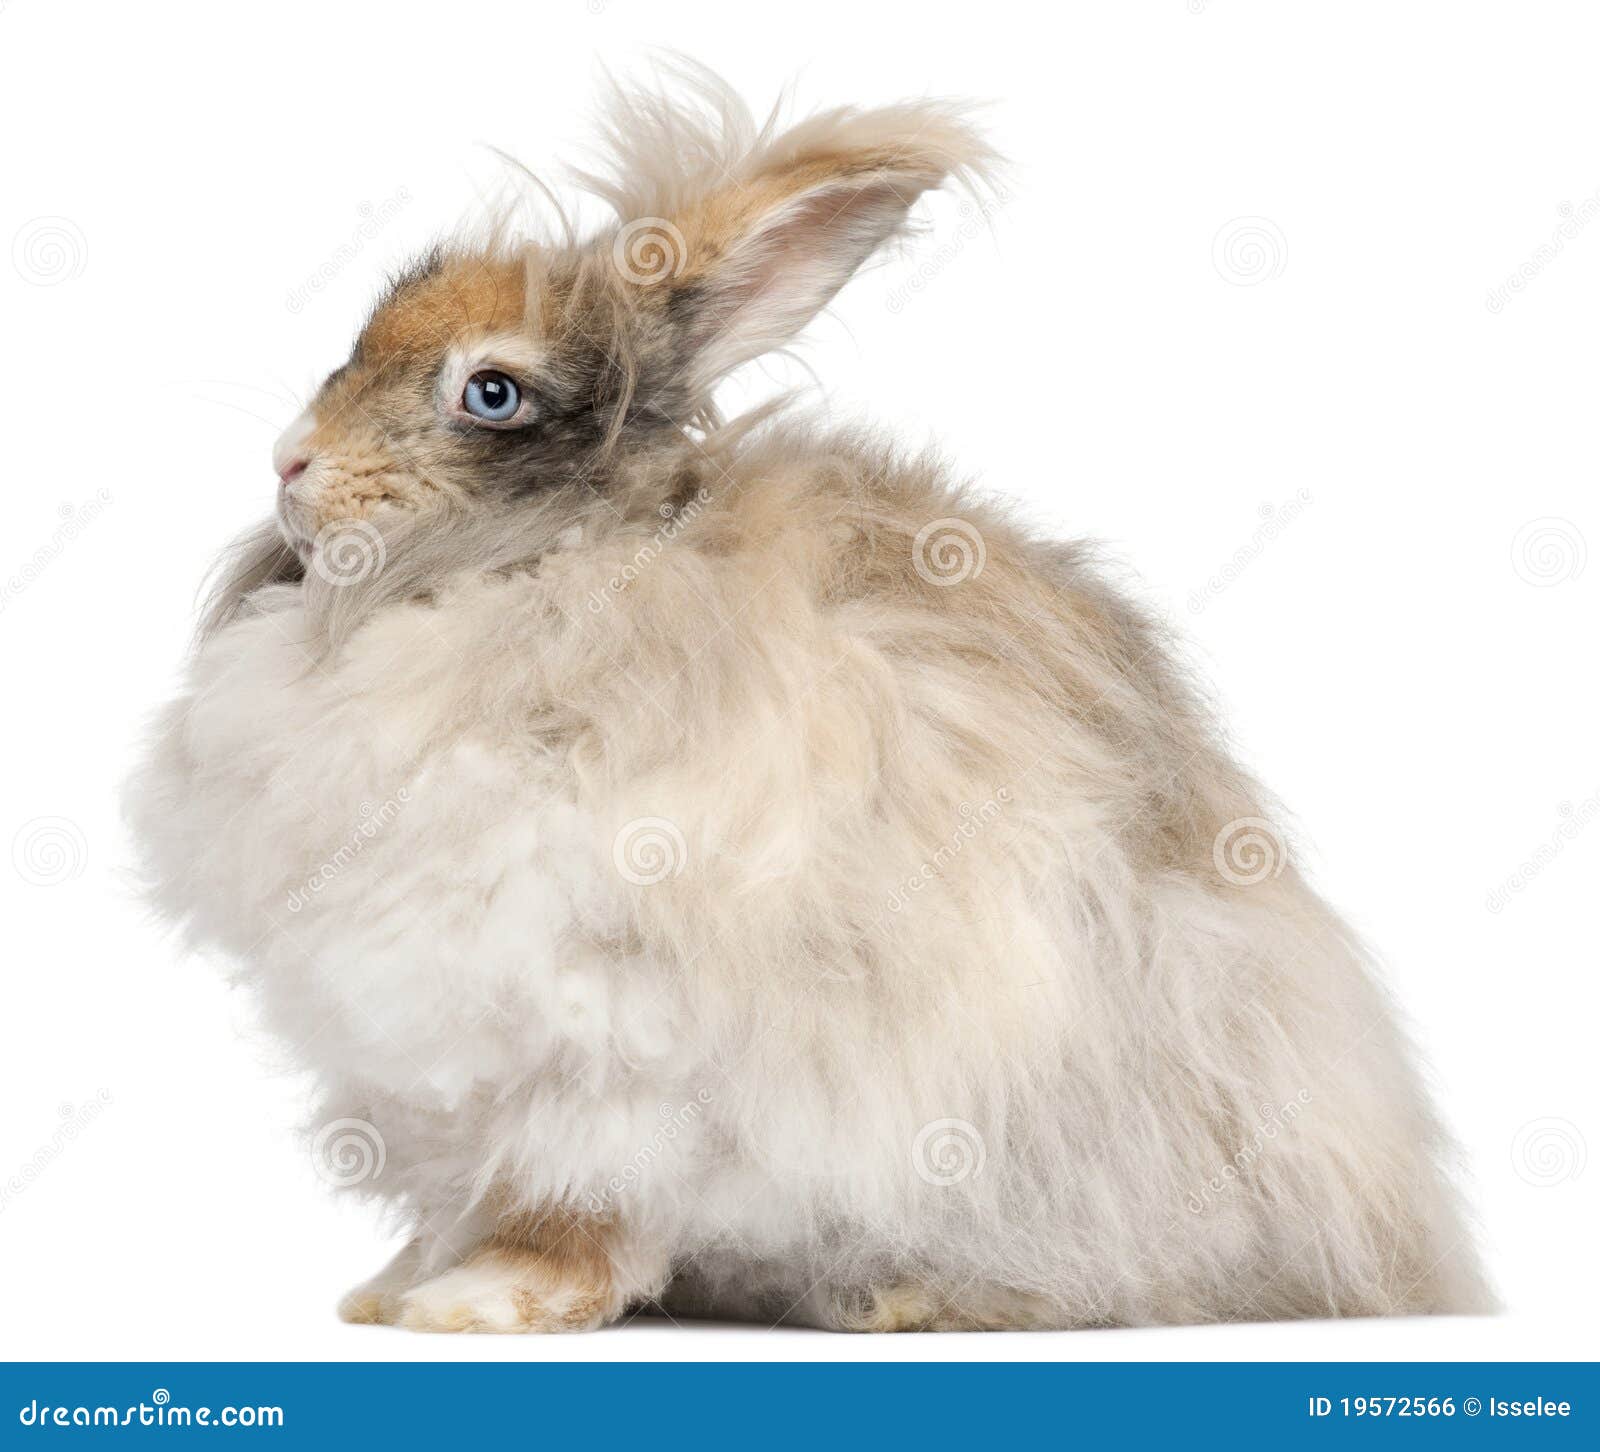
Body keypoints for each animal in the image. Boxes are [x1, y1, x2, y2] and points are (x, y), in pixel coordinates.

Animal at [126, 65, 1490, 1333]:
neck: (544, 572)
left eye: (492, 393)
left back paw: (903, 1299)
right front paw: (389, 1288)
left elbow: (575, 1202)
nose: (290, 463)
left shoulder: (604, 1033)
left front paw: (479, 1300)